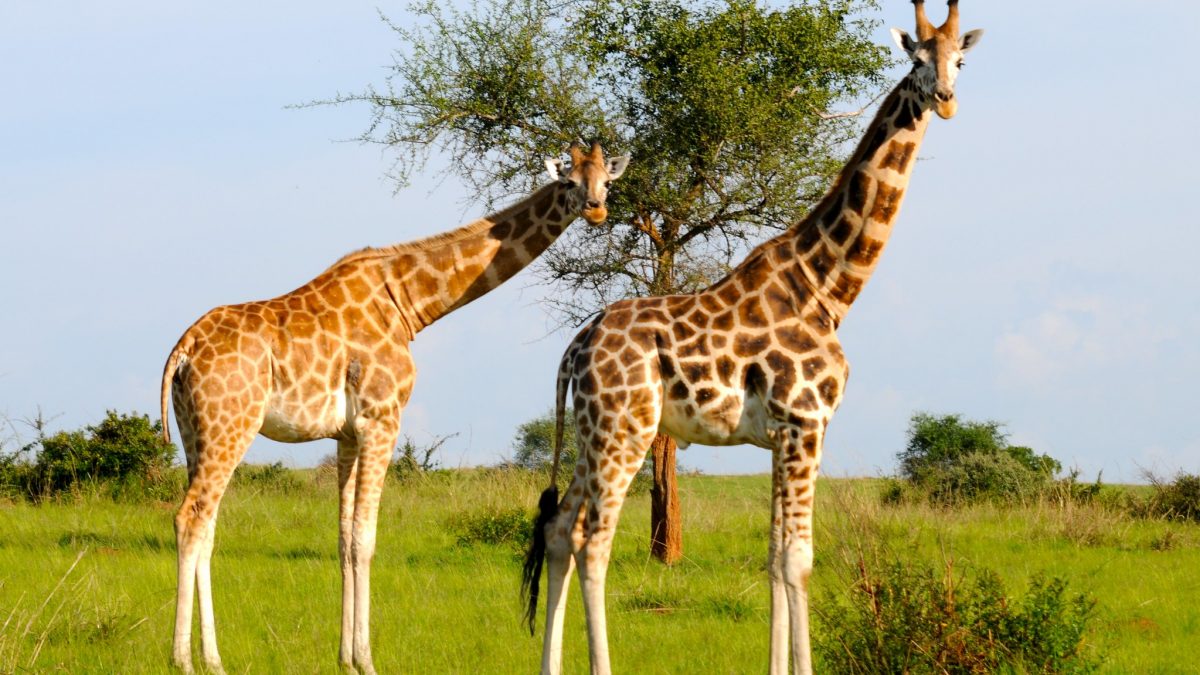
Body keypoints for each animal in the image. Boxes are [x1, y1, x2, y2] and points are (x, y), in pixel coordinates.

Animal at [160, 142, 629, 674]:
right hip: (231, 425)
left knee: (208, 525)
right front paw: (367, 659)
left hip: (195, 432)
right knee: (190, 517)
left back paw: (213, 658)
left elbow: (344, 539)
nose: (596, 209)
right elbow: (366, 538)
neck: (408, 303)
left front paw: (344, 657)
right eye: (569, 180)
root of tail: (183, 349)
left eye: (606, 182)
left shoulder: (346, 433)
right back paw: (182, 658)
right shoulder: (381, 418)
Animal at [522, 4, 983, 674]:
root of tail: (571, 352)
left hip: (591, 433)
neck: (827, 287)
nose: (944, 100)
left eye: (960, 60)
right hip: (625, 430)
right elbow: (799, 561)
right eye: (916, 59)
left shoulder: (778, 436)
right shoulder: (806, 423)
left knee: (559, 531)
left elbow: (772, 560)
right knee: (594, 541)